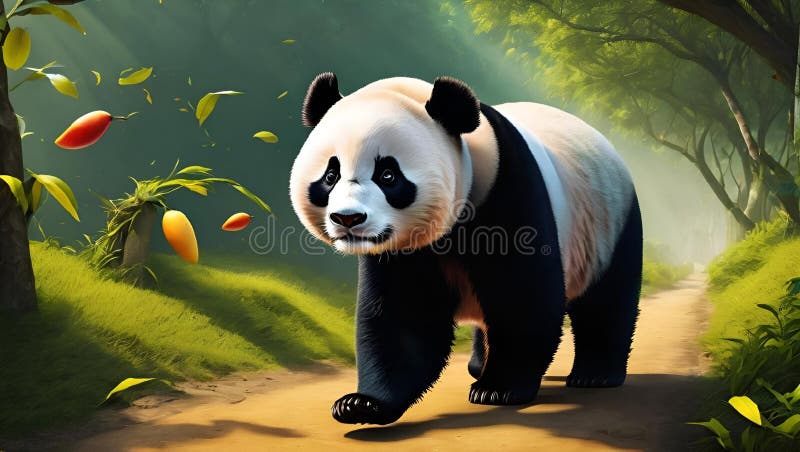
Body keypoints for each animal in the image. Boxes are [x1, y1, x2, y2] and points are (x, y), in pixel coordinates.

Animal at [289, 73, 642, 425]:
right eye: (331, 175)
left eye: (388, 175)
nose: (348, 218)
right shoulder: (402, 252)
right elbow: (402, 317)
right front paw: (361, 404)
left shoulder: (507, 193)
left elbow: (523, 295)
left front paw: (499, 389)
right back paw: (478, 364)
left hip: (608, 222)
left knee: (607, 300)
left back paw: (594, 374)